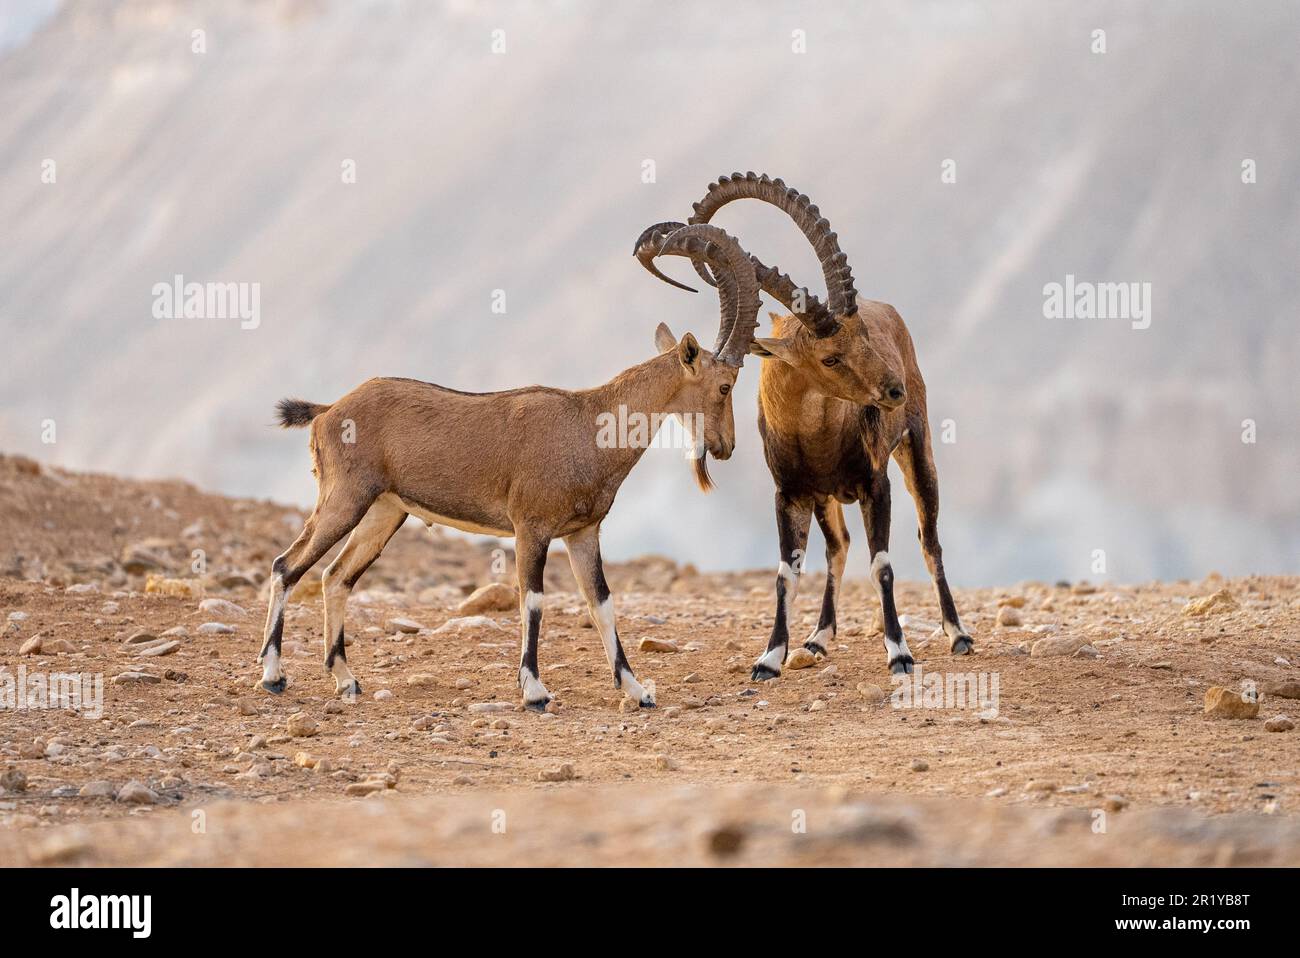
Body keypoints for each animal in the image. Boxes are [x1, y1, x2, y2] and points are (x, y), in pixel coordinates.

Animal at [258, 223, 762, 708]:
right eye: (724, 386)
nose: (726, 447)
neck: (590, 424)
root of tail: (327, 411)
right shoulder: (530, 527)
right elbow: (533, 600)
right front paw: (535, 690)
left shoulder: (583, 533)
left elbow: (600, 602)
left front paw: (636, 690)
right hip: (344, 499)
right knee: (287, 566)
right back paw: (273, 675)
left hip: (384, 511)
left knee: (336, 576)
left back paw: (345, 680)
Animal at [637, 172, 973, 680]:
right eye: (829, 357)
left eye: (864, 335)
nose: (893, 391)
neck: (815, 435)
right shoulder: (790, 494)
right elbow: (786, 573)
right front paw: (770, 658)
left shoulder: (876, 485)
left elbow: (883, 565)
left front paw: (899, 653)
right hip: (825, 498)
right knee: (839, 546)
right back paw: (818, 638)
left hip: (917, 451)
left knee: (929, 539)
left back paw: (958, 634)